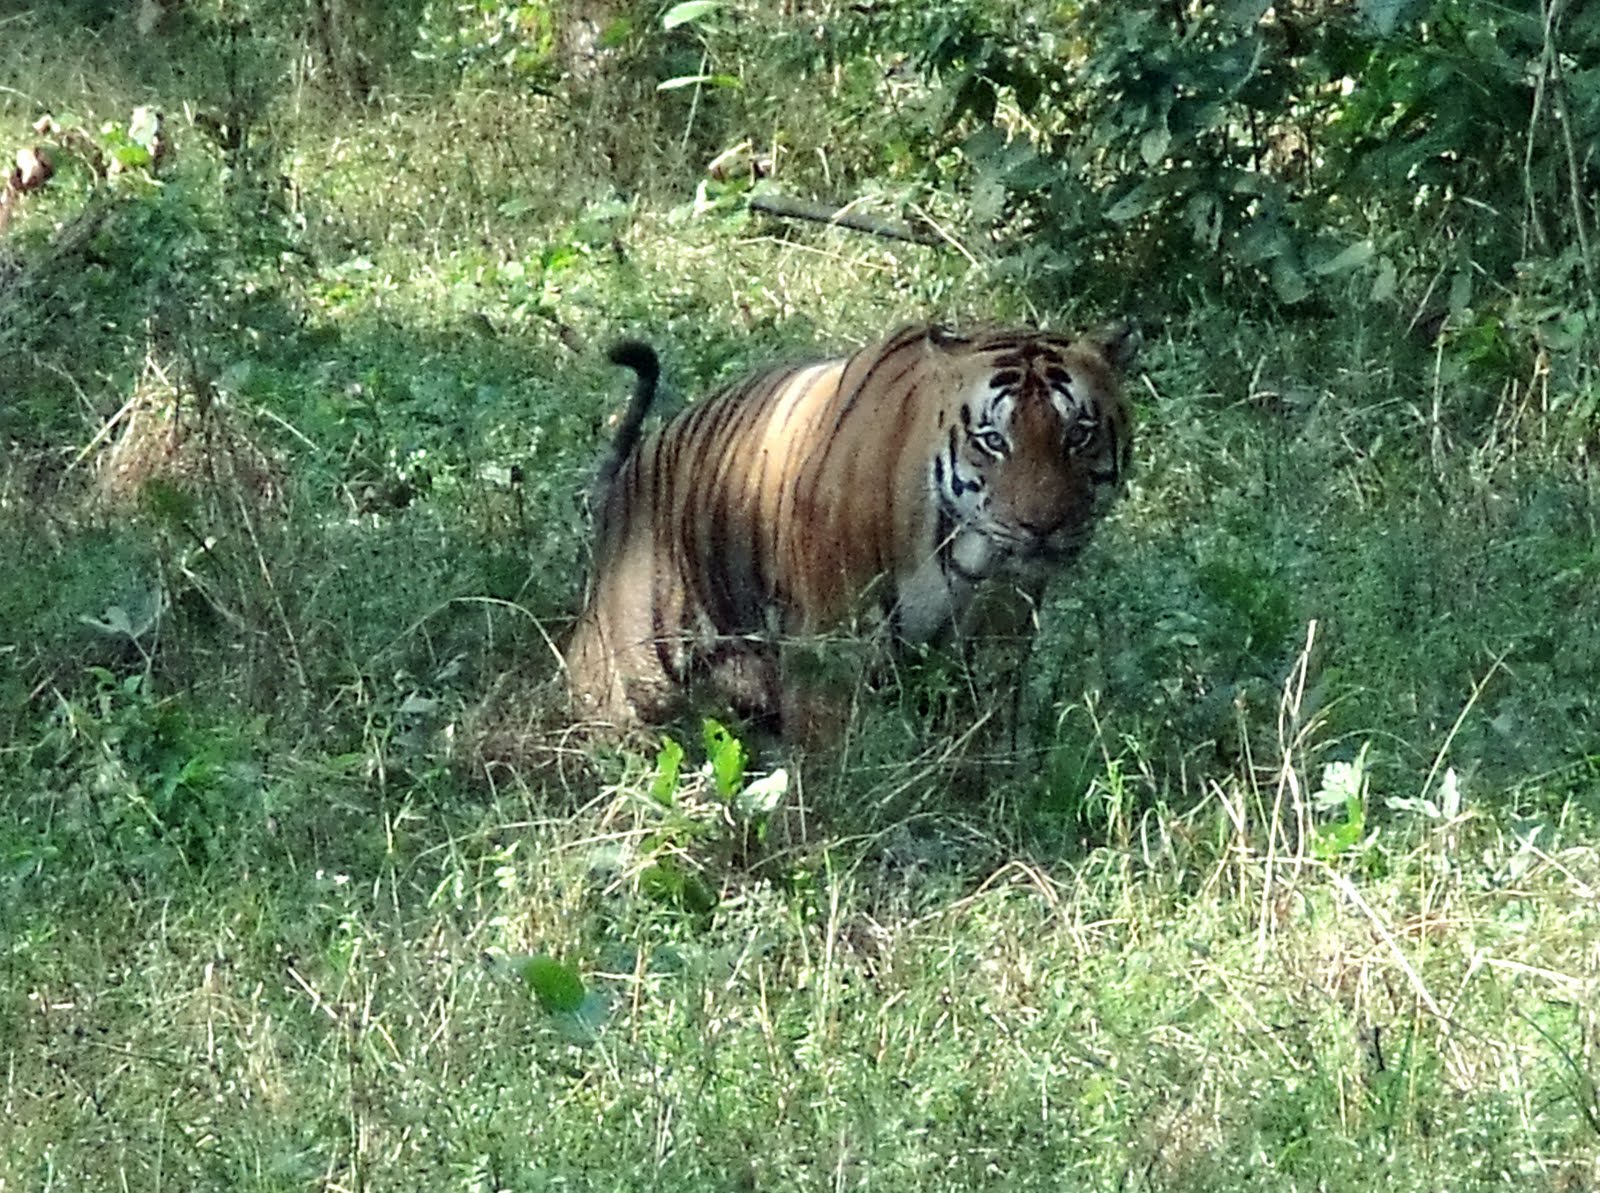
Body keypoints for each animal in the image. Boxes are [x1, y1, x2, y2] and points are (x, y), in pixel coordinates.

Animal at [564, 321, 1140, 740]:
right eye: (993, 440)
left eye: (1079, 434)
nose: (1042, 526)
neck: (964, 554)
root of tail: (623, 484)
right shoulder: (830, 650)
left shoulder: (994, 645)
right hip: (629, 680)